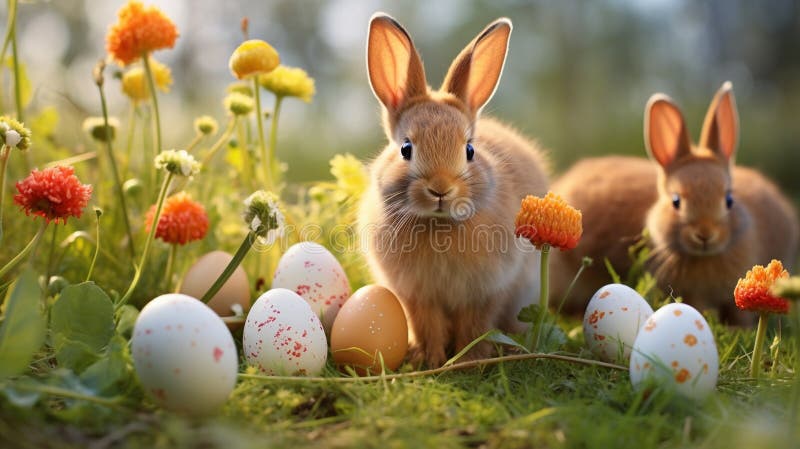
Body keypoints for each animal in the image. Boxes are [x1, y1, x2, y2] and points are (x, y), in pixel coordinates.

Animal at [358, 13, 549, 367]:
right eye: (406, 149)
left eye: (470, 150)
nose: (441, 190)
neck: (440, 224)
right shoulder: (417, 295)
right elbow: (427, 325)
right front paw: (430, 359)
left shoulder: (488, 290)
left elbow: (475, 325)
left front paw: (469, 359)